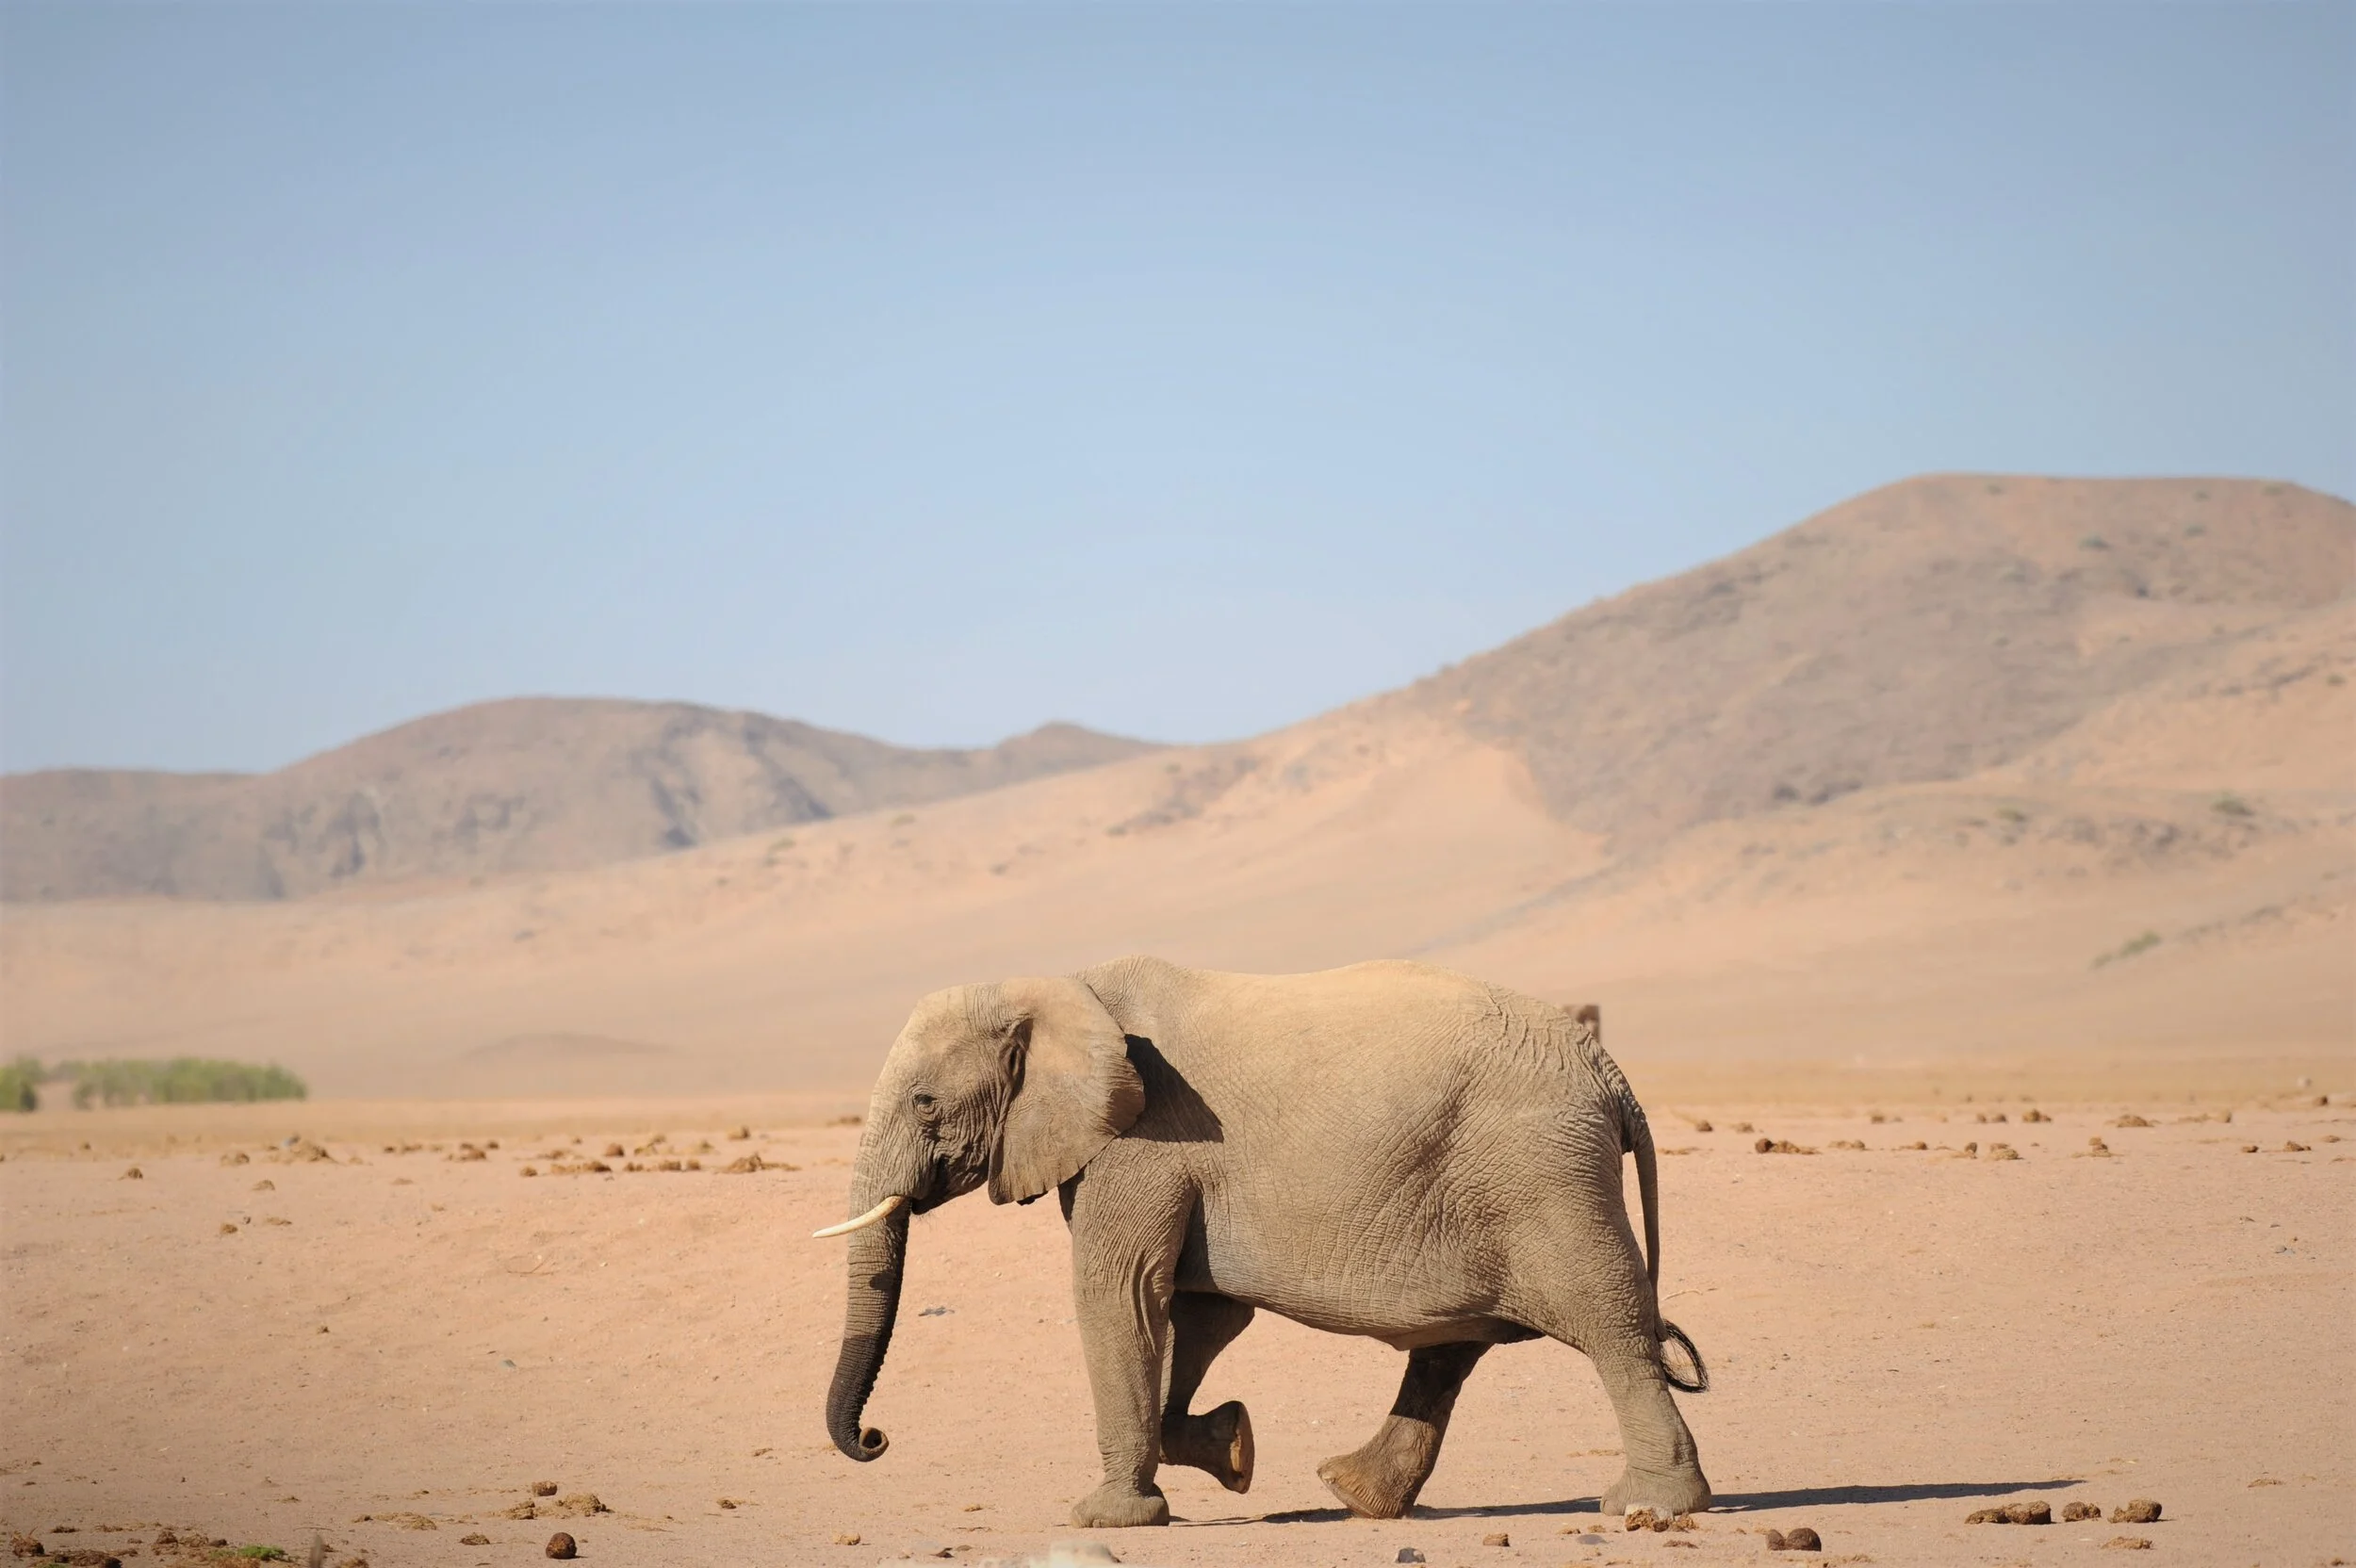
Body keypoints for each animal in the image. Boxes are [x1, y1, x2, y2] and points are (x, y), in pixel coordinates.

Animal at [818, 954, 1711, 1528]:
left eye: (925, 1103)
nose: (876, 1438)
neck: (1060, 989)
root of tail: (1613, 1077)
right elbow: (1196, 1314)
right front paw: (1236, 1449)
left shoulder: (1144, 1142)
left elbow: (1120, 1293)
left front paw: (1104, 1519)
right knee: (1451, 1350)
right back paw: (1354, 1495)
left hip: (1544, 1179)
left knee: (1610, 1328)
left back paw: (1651, 1507)